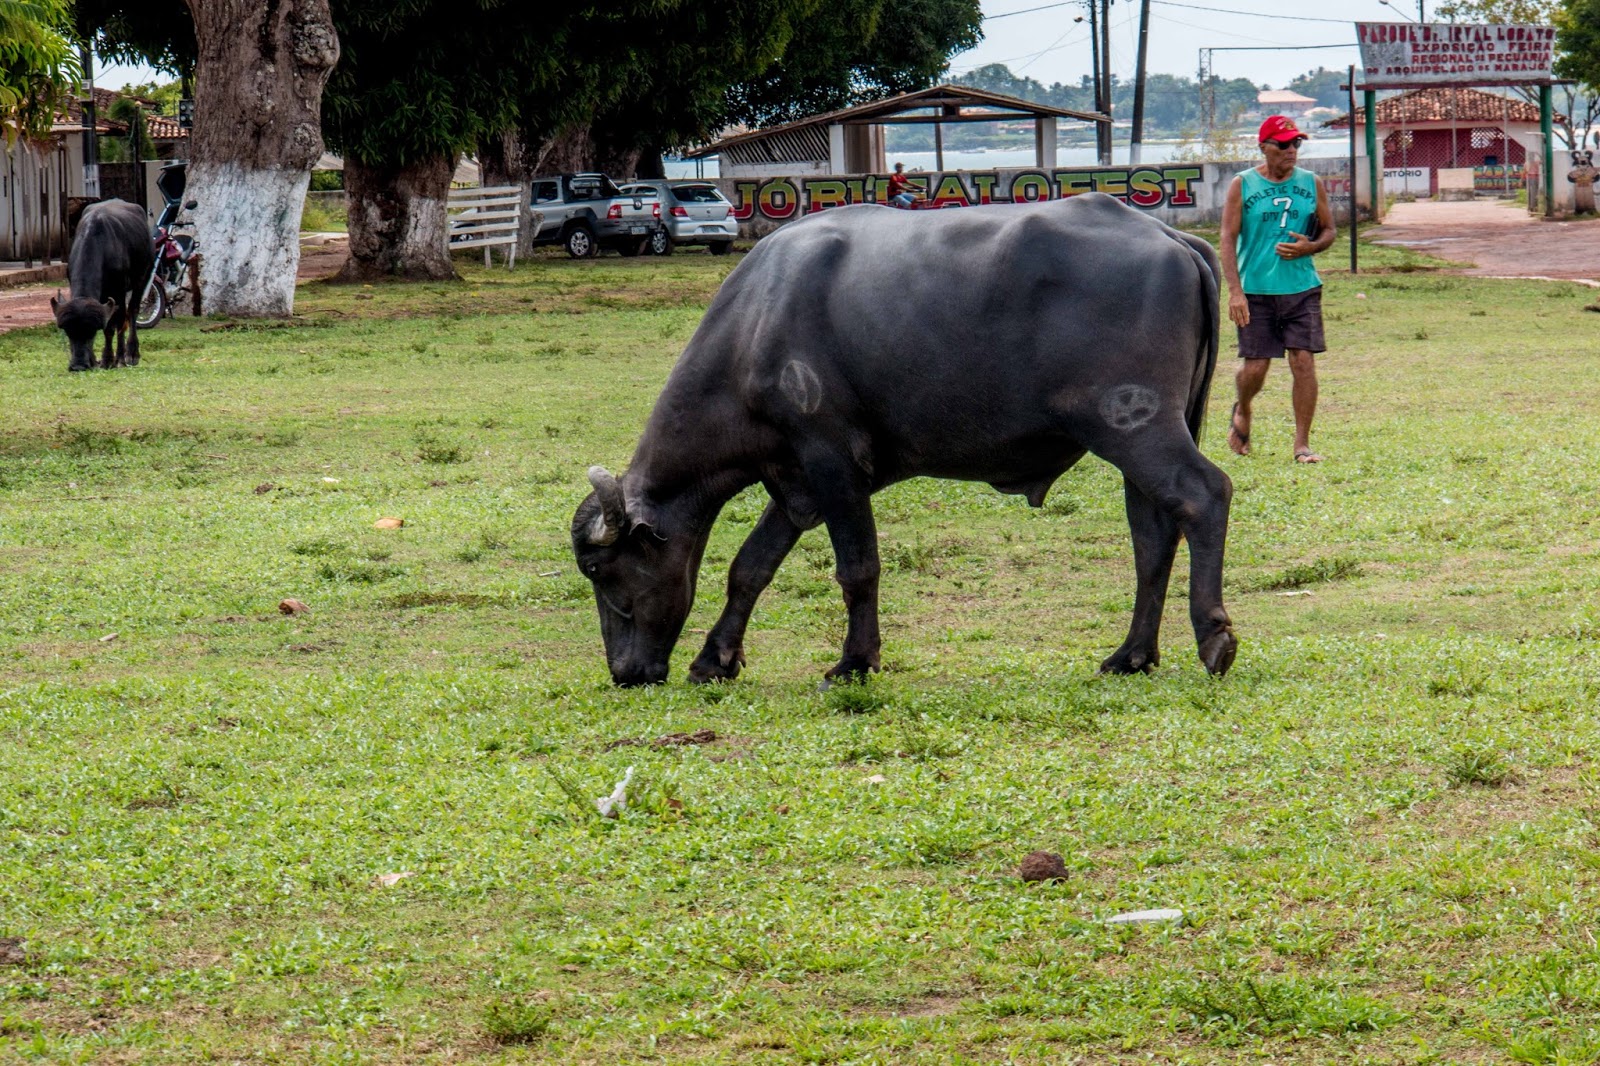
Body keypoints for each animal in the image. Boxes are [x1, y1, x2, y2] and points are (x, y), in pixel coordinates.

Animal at [51, 199, 153, 372]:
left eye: (92, 332)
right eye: (68, 331)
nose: (78, 366)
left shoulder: (118, 290)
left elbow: (112, 326)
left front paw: (109, 360)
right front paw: (93, 361)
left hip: (143, 276)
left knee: (131, 311)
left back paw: (130, 354)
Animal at [572, 193, 1237, 686]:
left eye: (601, 571)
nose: (624, 673)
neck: (756, 326)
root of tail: (1169, 237)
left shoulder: (832, 462)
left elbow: (858, 568)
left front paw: (854, 661)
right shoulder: (794, 480)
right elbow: (749, 568)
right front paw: (716, 658)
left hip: (1134, 425)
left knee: (1205, 495)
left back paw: (1213, 637)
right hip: (1139, 441)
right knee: (1152, 536)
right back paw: (1132, 654)